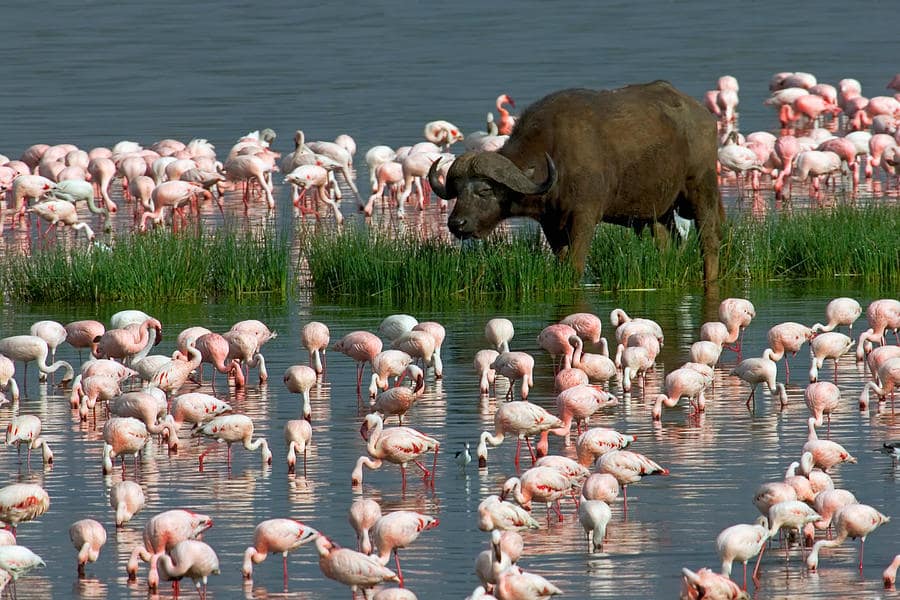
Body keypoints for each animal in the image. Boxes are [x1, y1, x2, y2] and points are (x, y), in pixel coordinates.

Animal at [428, 81, 725, 284]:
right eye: (457, 192)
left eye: (485, 190)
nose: (456, 224)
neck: (556, 156)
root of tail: (705, 117)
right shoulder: (551, 225)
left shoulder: (584, 217)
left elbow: (576, 265)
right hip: (660, 212)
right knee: (668, 244)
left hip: (702, 188)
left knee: (709, 240)